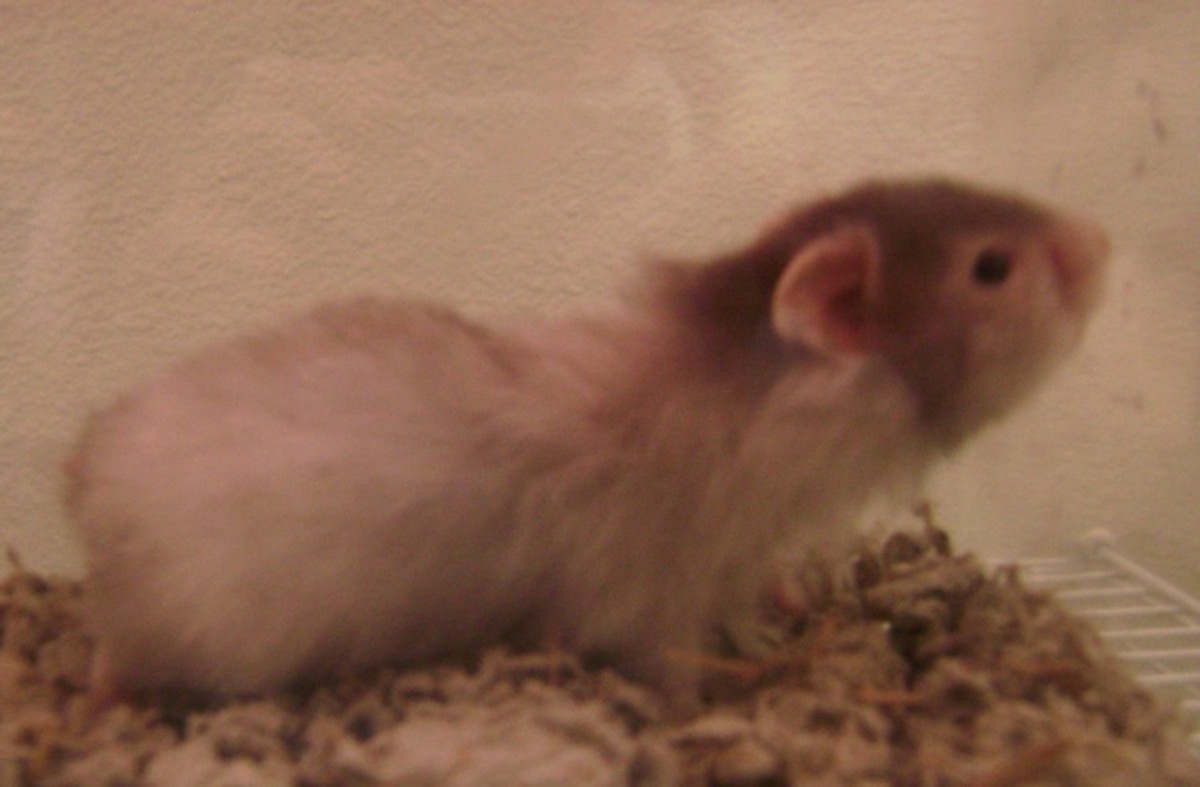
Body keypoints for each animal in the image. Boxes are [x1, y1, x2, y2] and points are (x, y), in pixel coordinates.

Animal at [64, 177, 1109, 703]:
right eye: (991, 268)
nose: (1101, 240)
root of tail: (83, 489)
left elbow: (766, 580)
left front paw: (791, 604)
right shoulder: (644, 593)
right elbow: (671, 663)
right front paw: (736, 683)